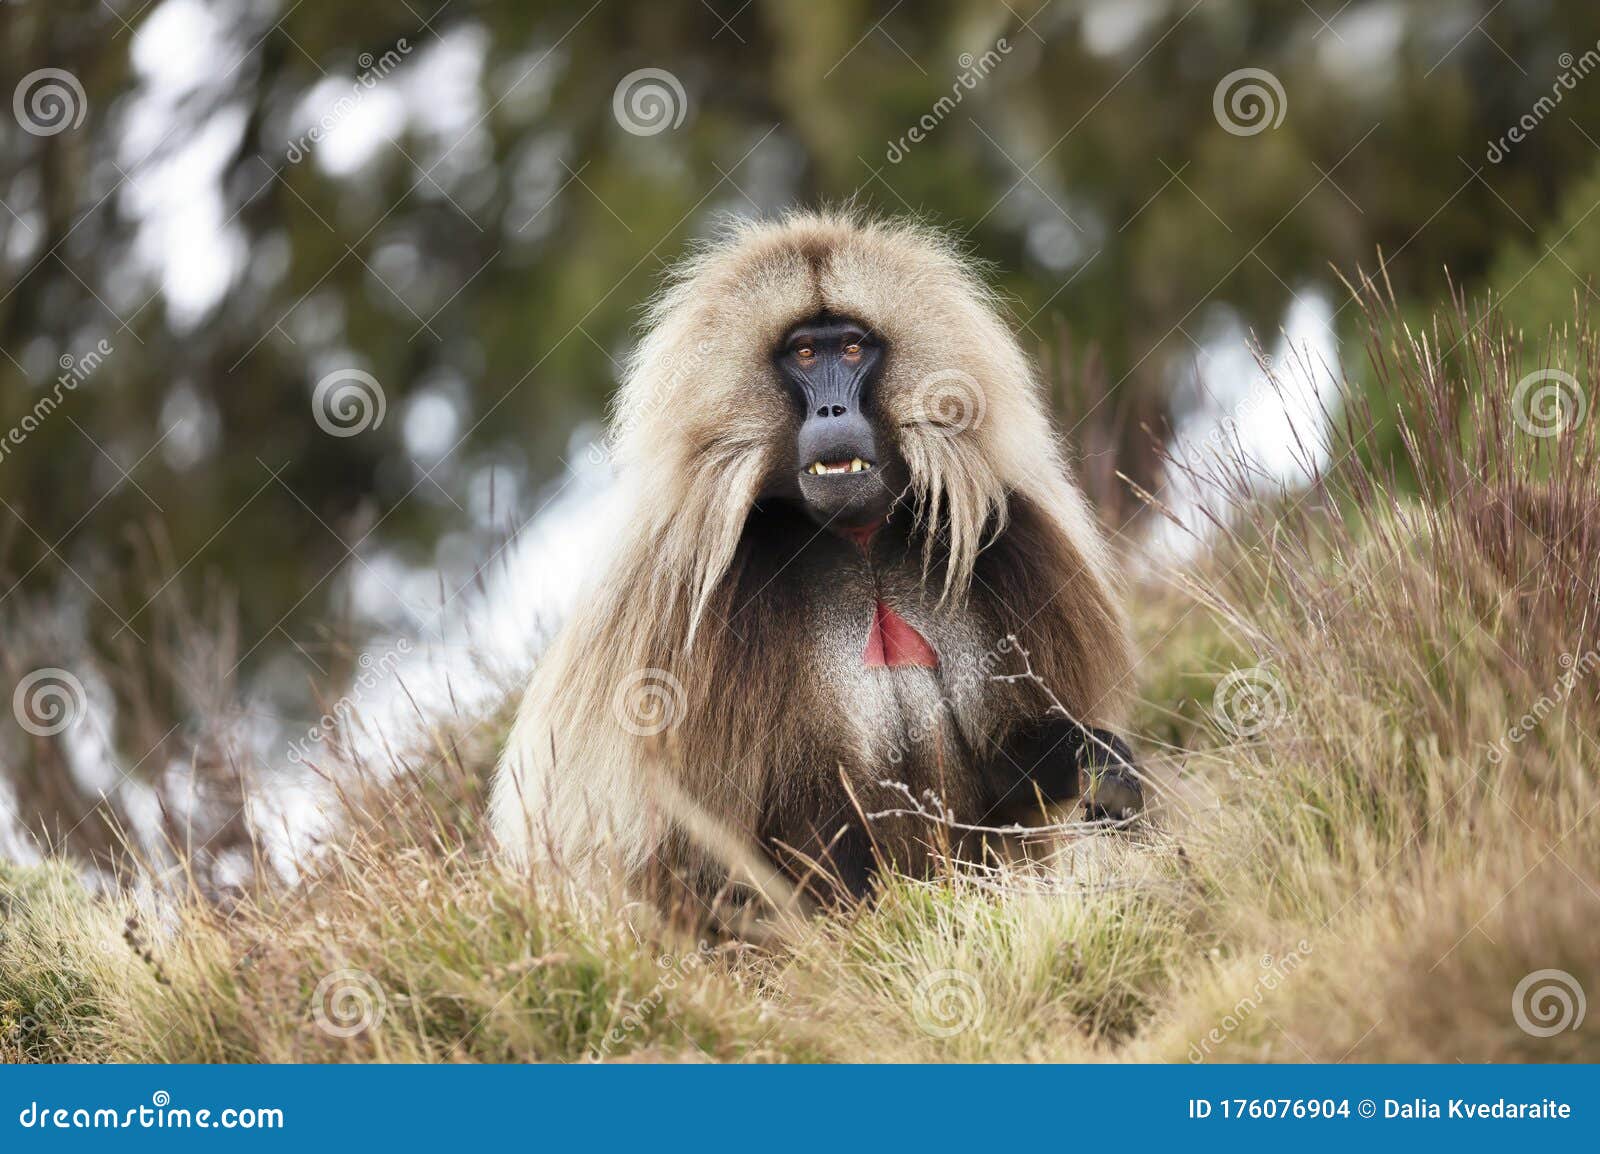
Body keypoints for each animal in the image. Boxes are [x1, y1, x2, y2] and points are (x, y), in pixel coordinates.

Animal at [491, 211, 1141, 912]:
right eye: (804, 353)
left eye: (853, 349)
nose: (833, 410)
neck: (858, 543)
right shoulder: (672, 595)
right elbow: (680, 842)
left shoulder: (1010, 534)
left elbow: (1008, 754)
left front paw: (1103, 768)